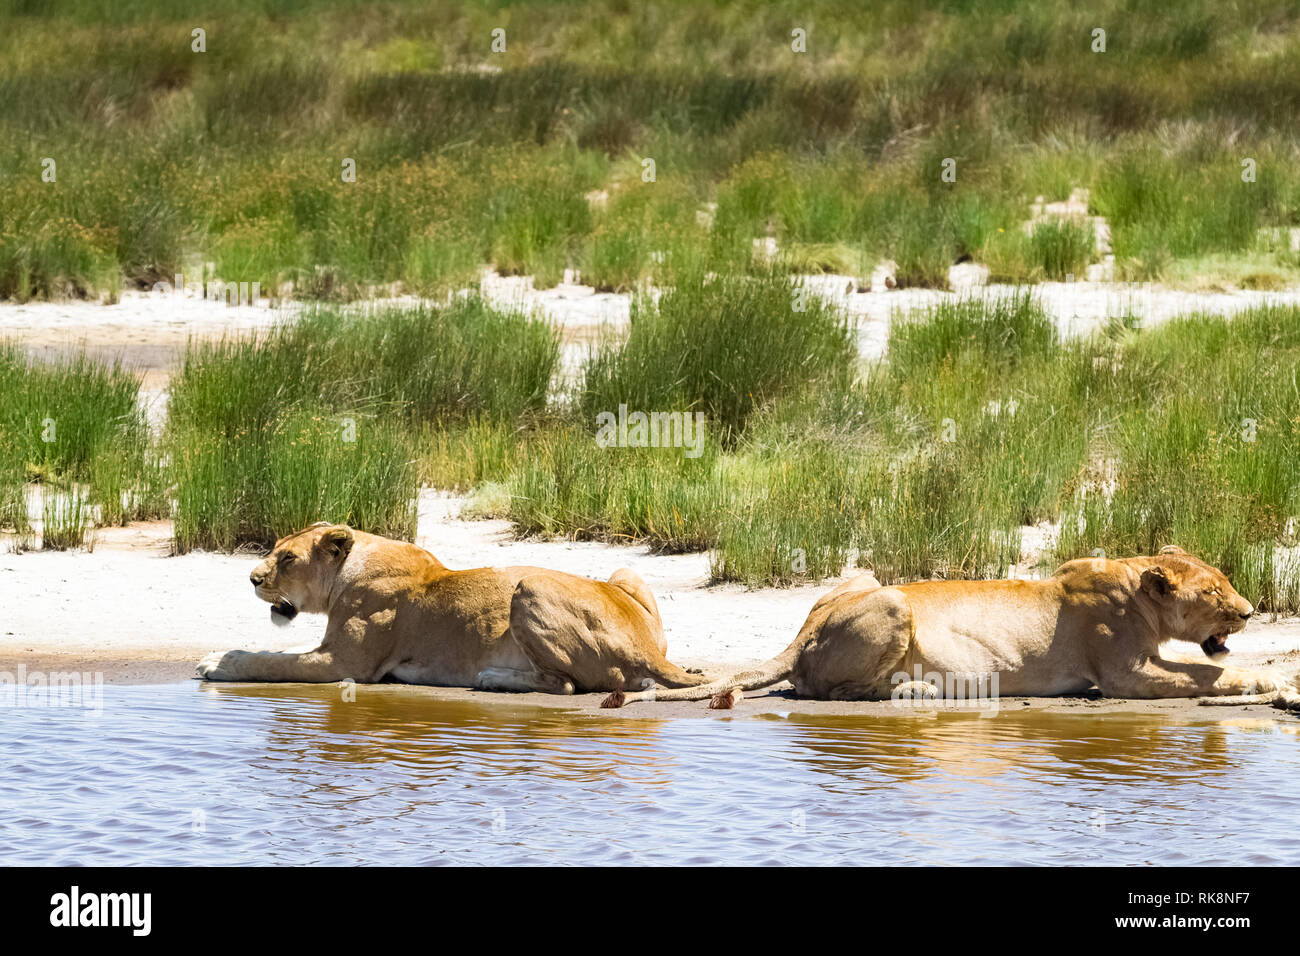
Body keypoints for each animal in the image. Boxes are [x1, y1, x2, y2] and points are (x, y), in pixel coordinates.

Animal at [196, 522, 710, 694]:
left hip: (529, 585)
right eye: (274, 550)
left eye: (287, 558)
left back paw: (492, 678)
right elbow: (278, 650)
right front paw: (216, 654)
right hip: (626, 572)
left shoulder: (344, 664)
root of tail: (646, 650)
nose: (252, 579)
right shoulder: (329, 647)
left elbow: (266, 661)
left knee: (564, 685)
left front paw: (218, 664)